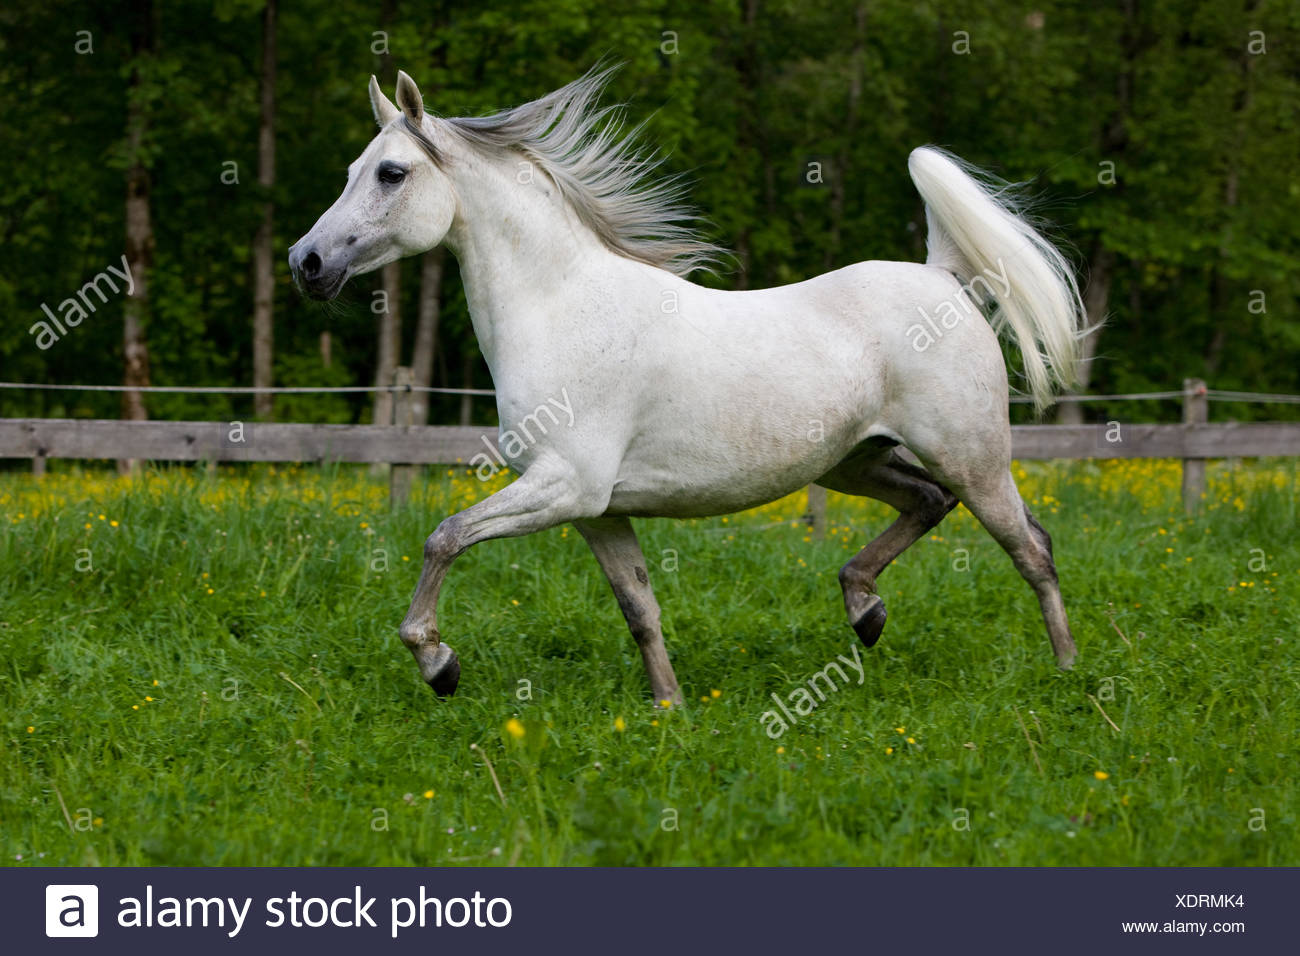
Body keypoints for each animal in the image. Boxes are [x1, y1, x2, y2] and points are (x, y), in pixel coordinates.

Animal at [288, 67, 1086, 705]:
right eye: (354, 169)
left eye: (391, 173)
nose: (306, 262)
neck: (564, 309)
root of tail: (943, 278)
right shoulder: (596, 510)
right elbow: (640, 609)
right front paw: (668, 707)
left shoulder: (562, 485)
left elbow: (444, 538)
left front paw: (438, 664)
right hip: (854, 461)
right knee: (929, 502)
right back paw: (865, 610)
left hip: (973, 458)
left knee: (1032, 549)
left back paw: (1069, 674)